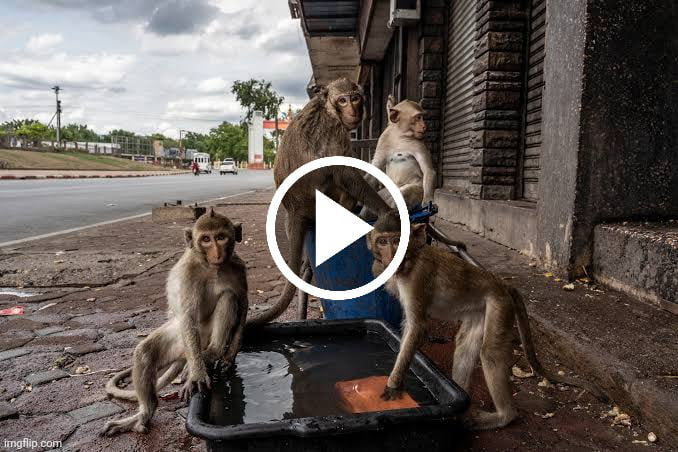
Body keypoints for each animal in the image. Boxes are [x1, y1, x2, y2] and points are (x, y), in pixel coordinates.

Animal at [102, 209, 248, 435]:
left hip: (200, 339)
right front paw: (197, 375)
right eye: (206, 239)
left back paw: (213, 351)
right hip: (182, 342)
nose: (216, 253)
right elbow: (188, 316)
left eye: (221, 237)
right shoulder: (189, 274)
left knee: (228, 297)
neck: (212, 268)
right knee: (145, 352)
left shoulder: (238, 268)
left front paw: (228, 357)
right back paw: (145, 413)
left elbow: (243, 304)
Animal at [246, 77, 391, 325]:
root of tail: (296, 207)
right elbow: (345, 173)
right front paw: (388, 212)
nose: (352, 110)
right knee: (338, 179)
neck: (328, 108)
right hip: (319, 203)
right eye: (342, 100)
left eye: (355, 97)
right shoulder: (335, 130)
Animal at [366, 212, 606, 430]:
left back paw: (504, 416)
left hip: (499, 305)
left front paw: (393, 386)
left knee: (490, 352)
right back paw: (460, 399)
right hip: (479, 309)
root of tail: (500, 282)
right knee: (465, 343)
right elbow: (410, 326)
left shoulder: (418, 276)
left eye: (397, 240)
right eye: (382, 241)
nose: (391, 256)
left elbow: (417, 327)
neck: (411, 259)